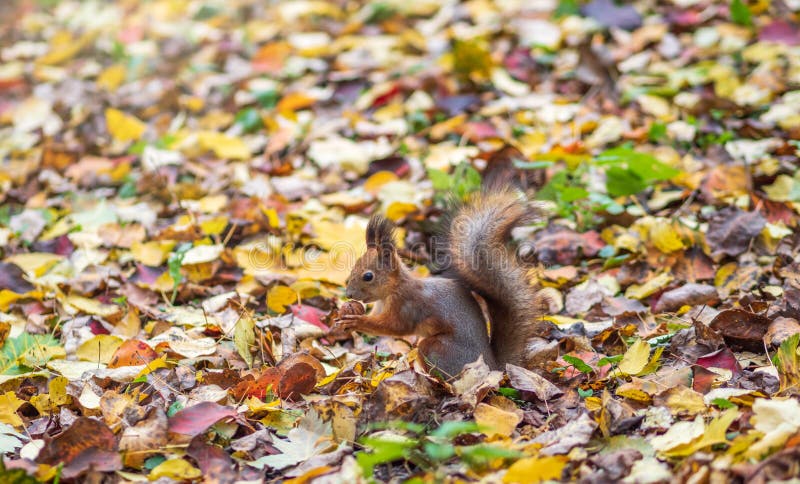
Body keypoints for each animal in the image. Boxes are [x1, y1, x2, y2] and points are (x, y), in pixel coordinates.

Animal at [335, 189, 549, 379]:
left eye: (368, 276)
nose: (349, 294)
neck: (391, 291)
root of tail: (492, 368)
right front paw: (344, 318)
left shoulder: (406, 306)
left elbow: (394, 327)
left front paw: (356, 321)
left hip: (437, 350)